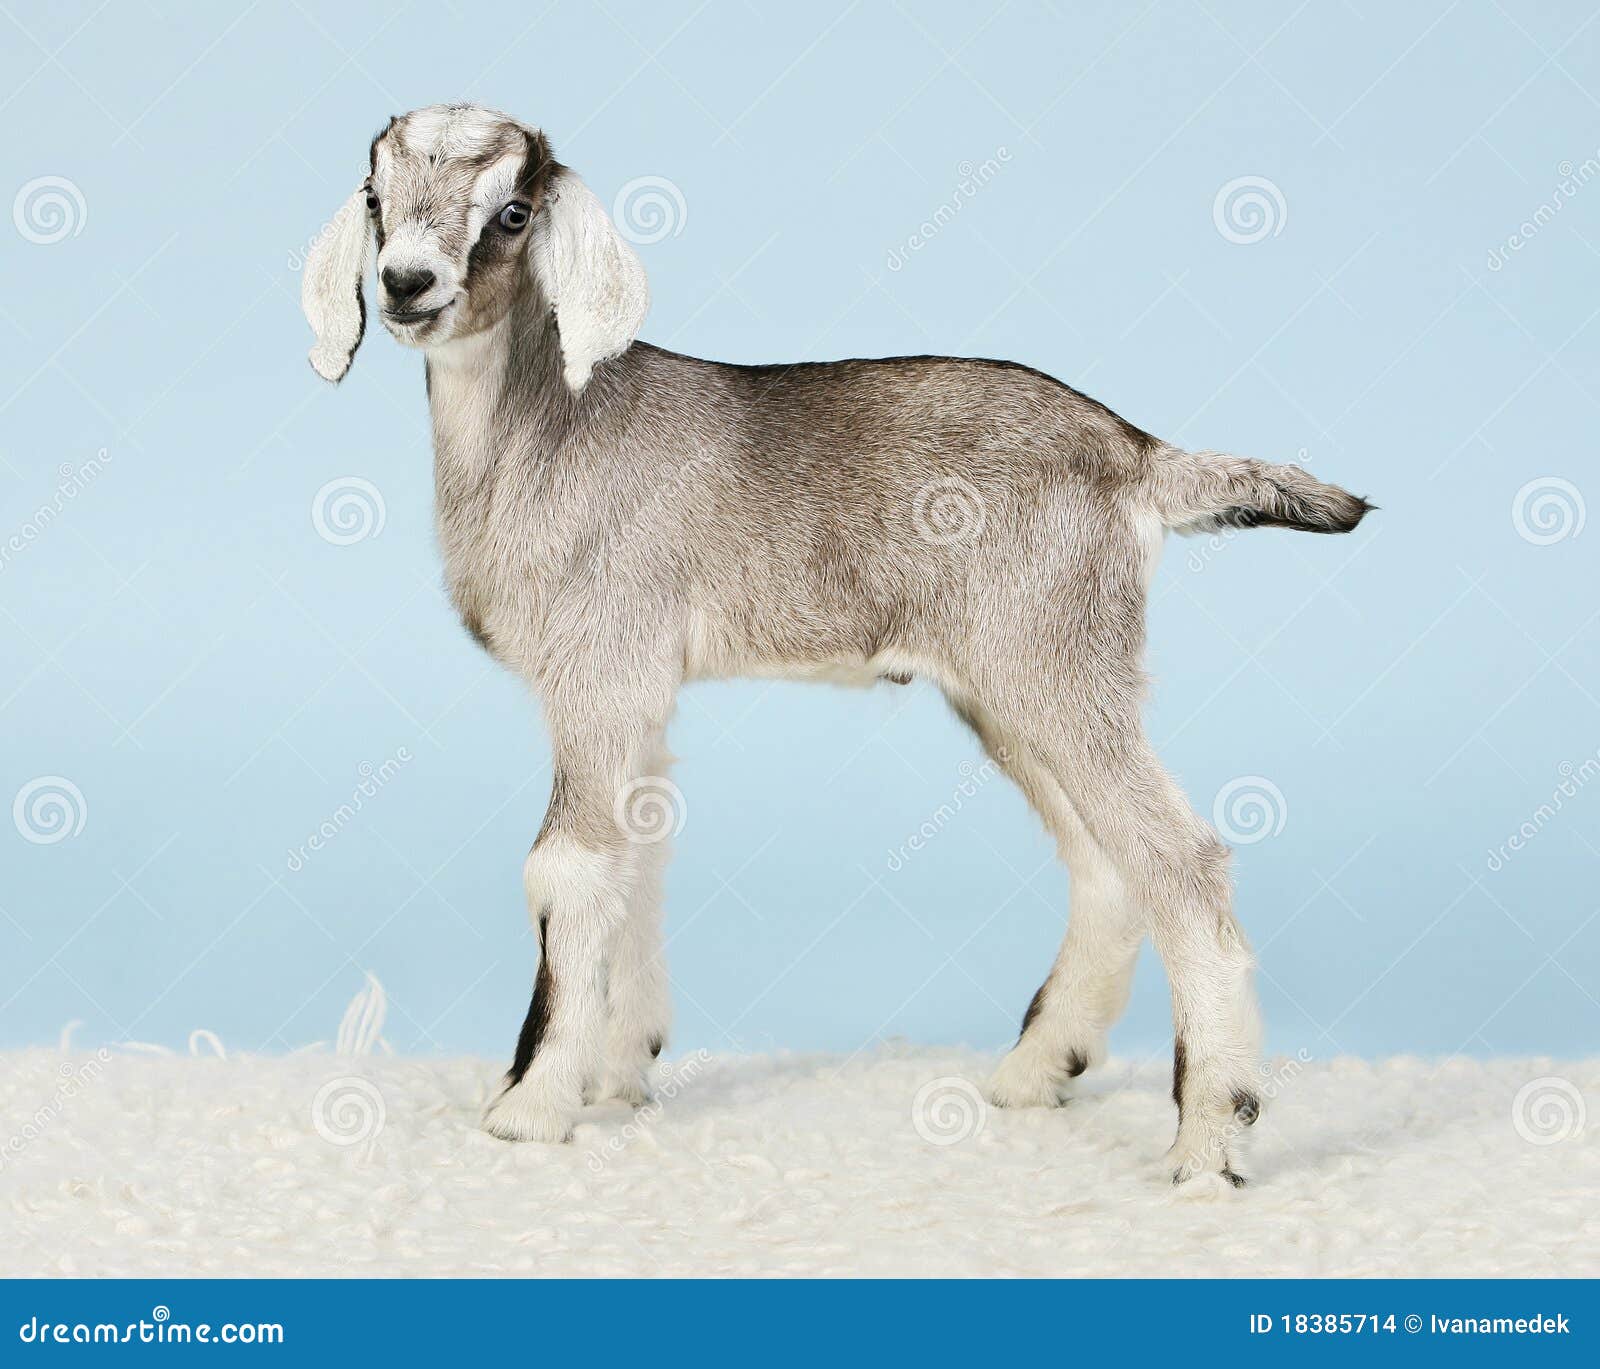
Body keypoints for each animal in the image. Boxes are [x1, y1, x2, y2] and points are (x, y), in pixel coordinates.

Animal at [301, 103, 1370, 1185]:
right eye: (376, 196)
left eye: (513, 211)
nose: (406, 284)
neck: (550, 431)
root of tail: (1140, 455)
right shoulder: (641, 694)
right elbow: (639, 860)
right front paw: (619, 1074)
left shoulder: (599, 671)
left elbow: (565, 867)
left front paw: (531, 1106)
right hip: (1010, 685)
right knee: (1105, 861)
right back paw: (1038, 1071)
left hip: (1054, 663)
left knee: (1182, 860)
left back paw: (1208, 1143)